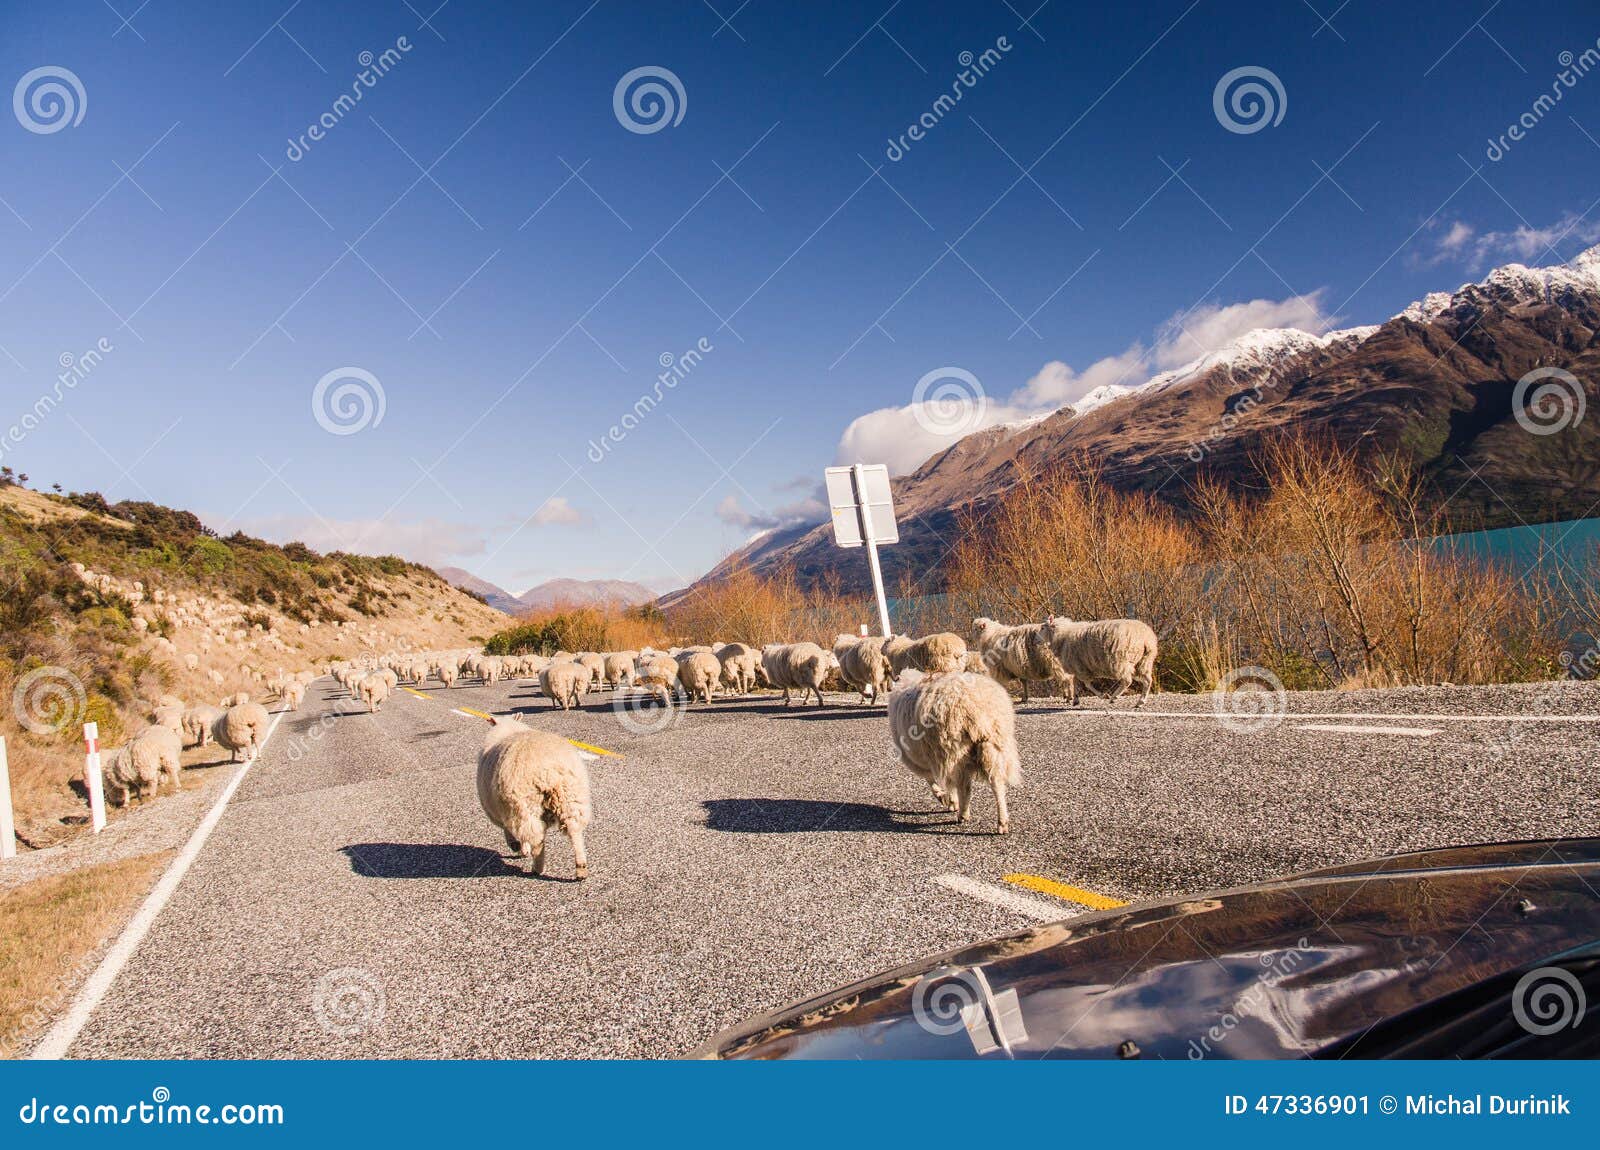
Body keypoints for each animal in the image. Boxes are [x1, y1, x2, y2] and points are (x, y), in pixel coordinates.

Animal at [476, 715, 592, 880]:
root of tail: (549, 771)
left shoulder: (503, 815)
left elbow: (509, 833)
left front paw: (519, 848)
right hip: (571, 798)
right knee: (574, 831)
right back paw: (581, 868)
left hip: (525, 808)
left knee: (537, 842)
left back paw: (537, 868)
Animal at [887, 668, 1021, 833]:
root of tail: (977, 711)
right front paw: (948, 800)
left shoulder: (921, 759)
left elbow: (933, 780)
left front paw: (946, 799)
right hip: (994, 747)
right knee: (996, 783)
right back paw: (1002, 822)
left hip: (950, 750)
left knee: (963, 785)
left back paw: (963, 814)